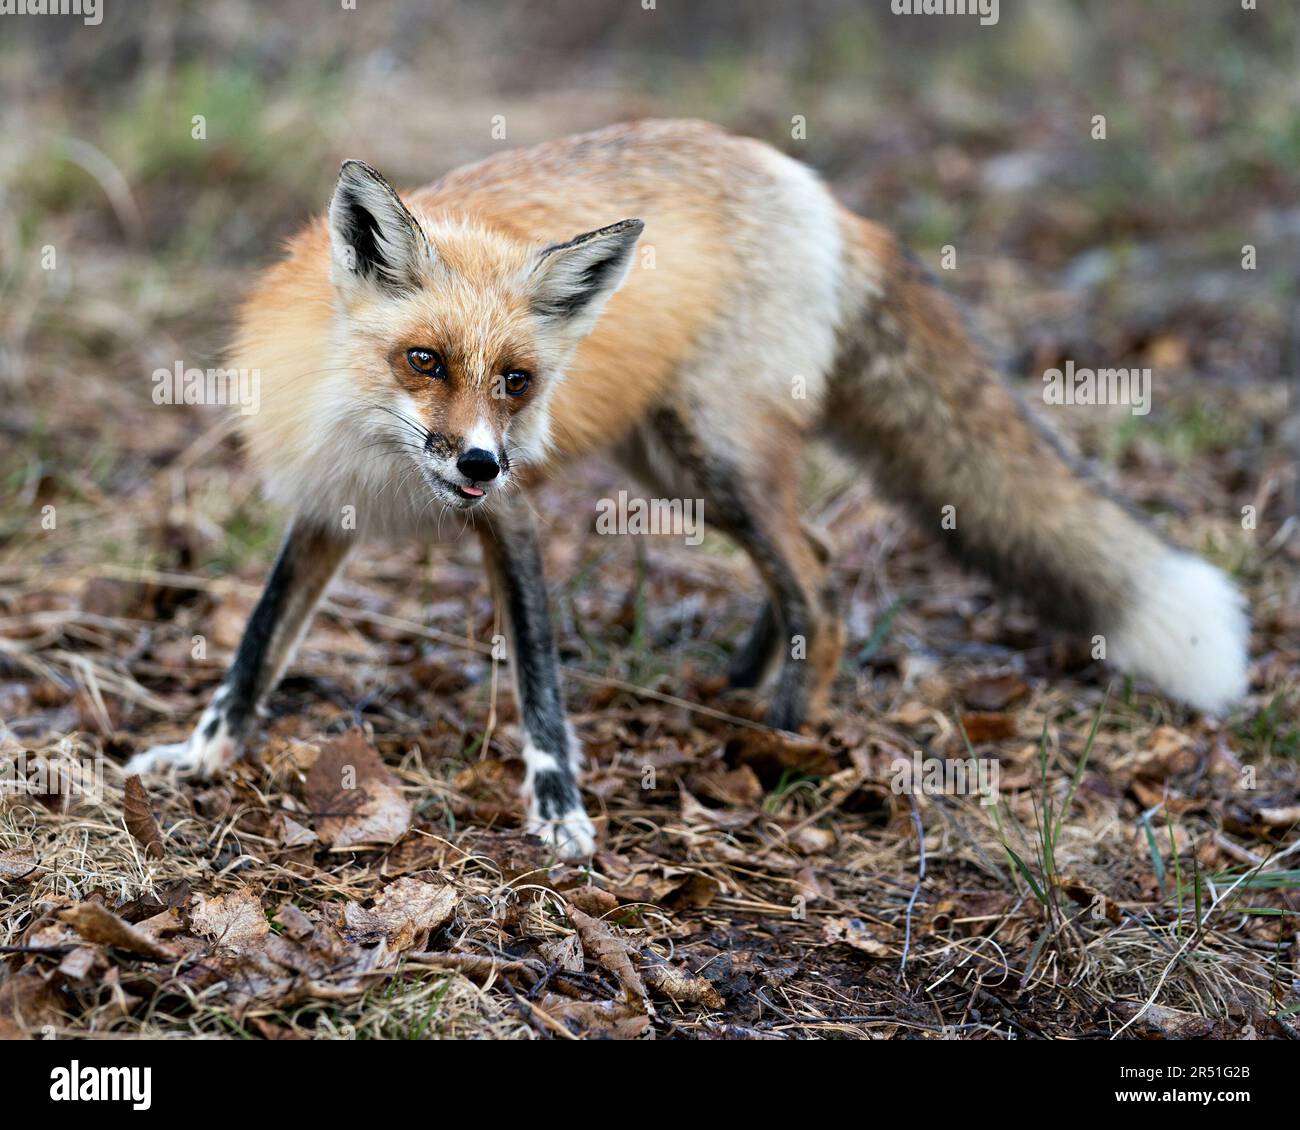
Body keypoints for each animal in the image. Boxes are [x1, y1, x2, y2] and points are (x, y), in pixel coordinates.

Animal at [127, 119, 1250, 857]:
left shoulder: (513, 516)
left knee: (822, 589)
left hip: (712, 451)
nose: (480, 461)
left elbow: (538, 682)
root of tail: (817, 192)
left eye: (516, 380)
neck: (379, 448)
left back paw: (786, 737)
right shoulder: (327, 507)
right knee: (811, 562)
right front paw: (202, 756)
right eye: (424, 361)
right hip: (676, 466)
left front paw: (560, 814)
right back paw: (742, 684)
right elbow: (255, 645)